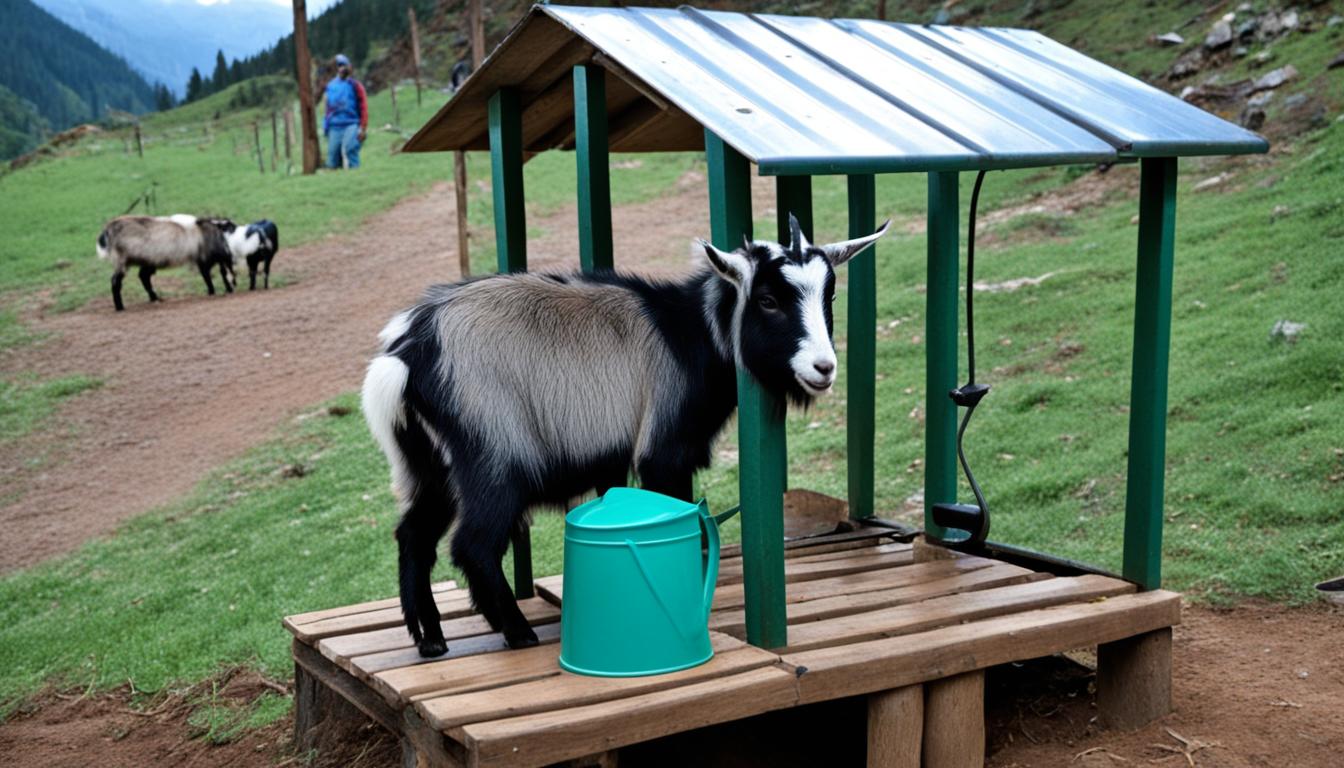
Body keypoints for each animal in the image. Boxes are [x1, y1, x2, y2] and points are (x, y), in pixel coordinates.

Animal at [97, 214, 237, 311]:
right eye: (230, 226)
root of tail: (108, 230)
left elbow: (217, 274)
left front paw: (222, 290)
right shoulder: (205, 260)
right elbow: (209, 277)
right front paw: (213, 292)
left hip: (145, 261)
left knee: (143, 277)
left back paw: (154, 298)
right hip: (123, 262)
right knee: (116, 281)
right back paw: (120, 307)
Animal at [362, 215, 889, 657]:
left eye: (830, 297)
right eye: (768, 300)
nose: (823, 368)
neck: (690, 334)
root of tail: (410, 352)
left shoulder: (613, 459)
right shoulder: (665, 452)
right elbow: (678, 513)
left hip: (430, 466)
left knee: (414, 536)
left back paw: (430, 639)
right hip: (493, 458)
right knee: (472, 544)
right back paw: (517, 631)